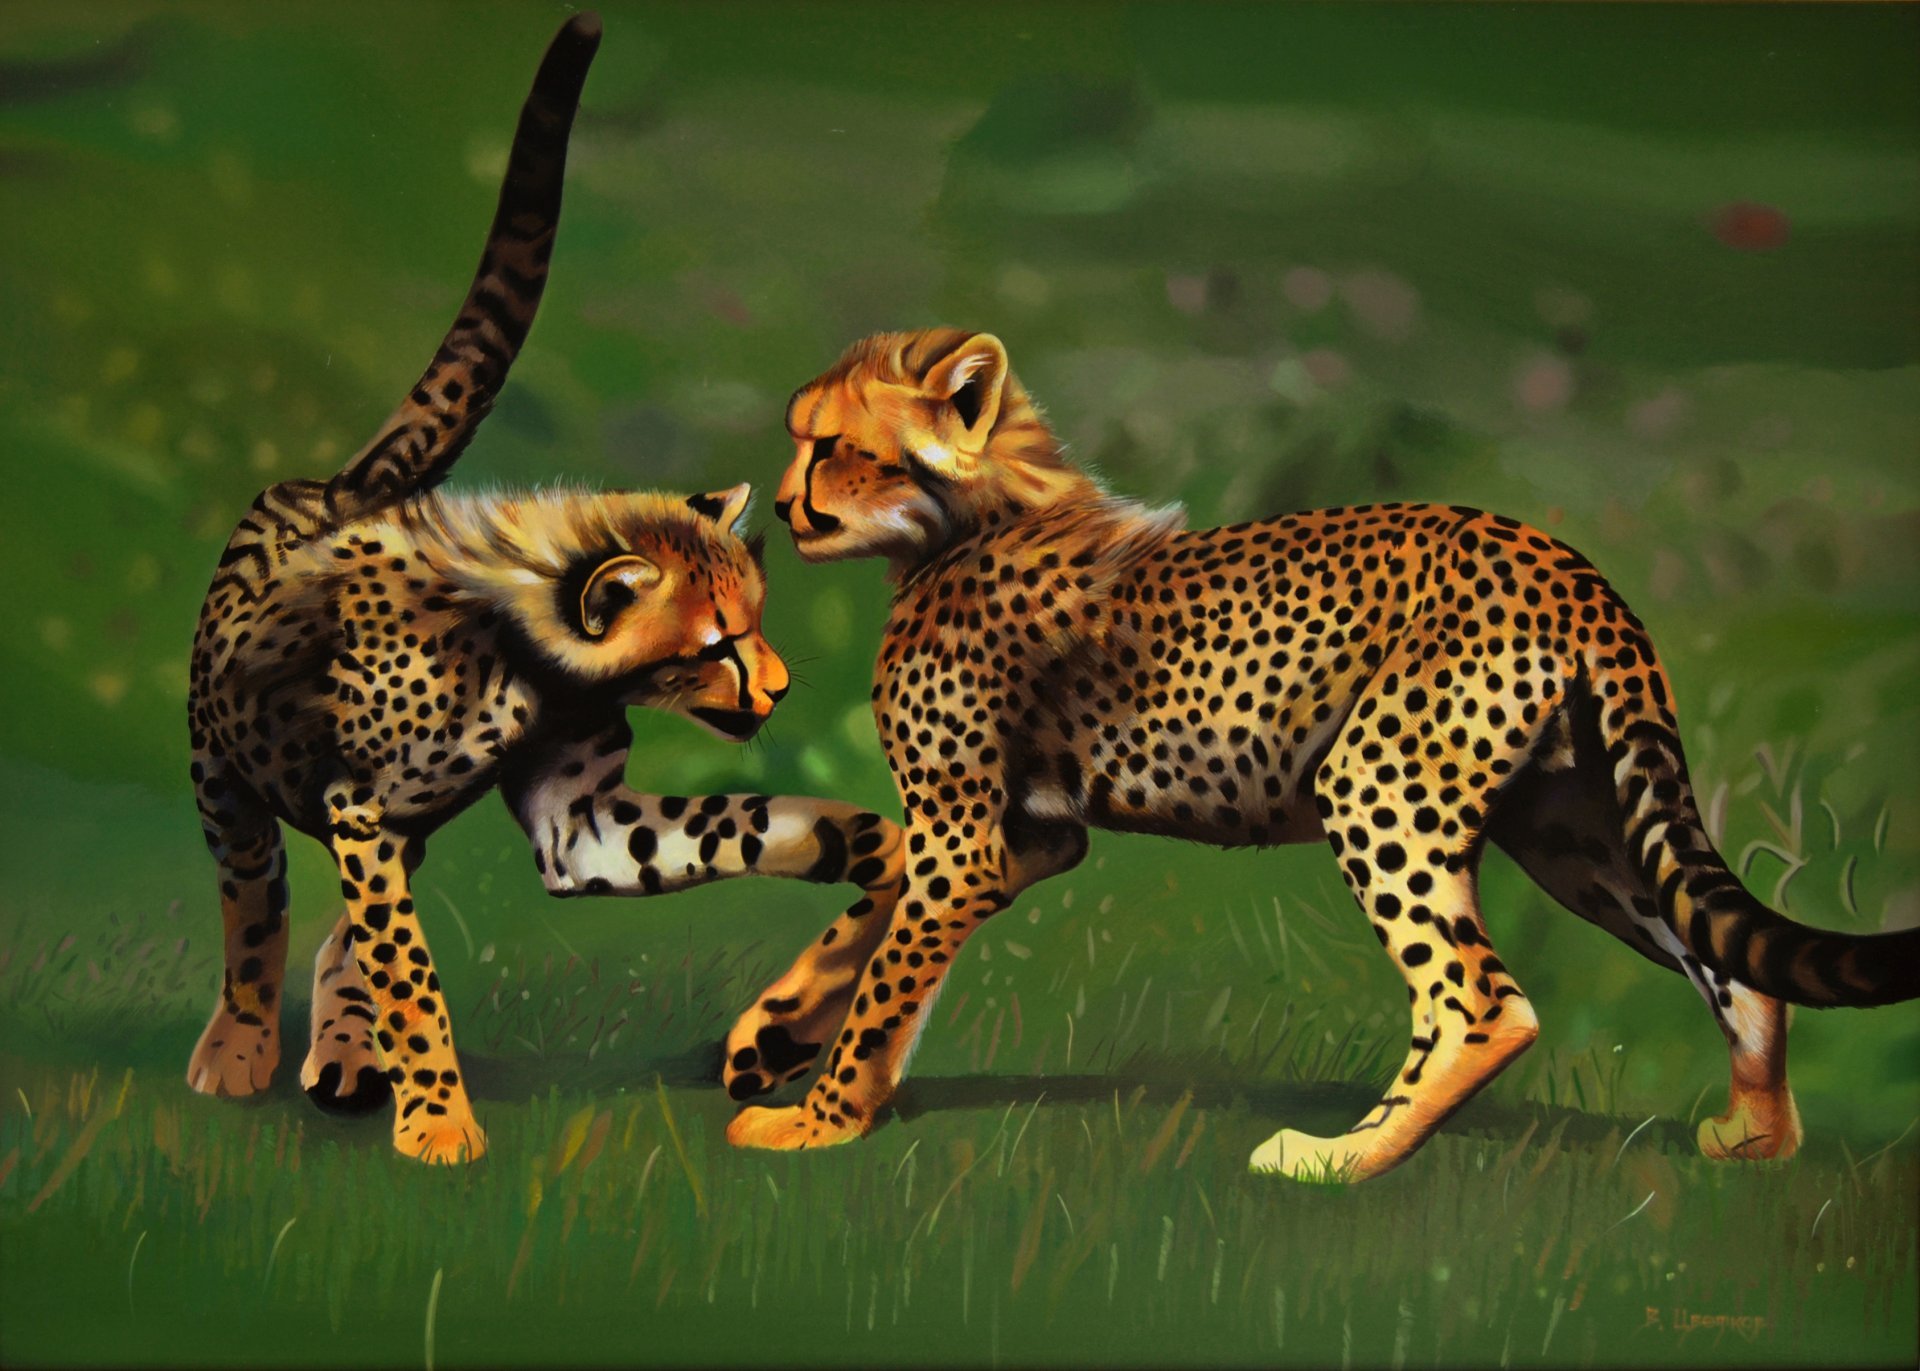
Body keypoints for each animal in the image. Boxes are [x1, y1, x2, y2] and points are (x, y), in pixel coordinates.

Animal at [184, 14, 901, 1165]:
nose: (782, 688)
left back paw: (342, 1053)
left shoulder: (578, 824)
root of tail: (335, 484)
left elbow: (761, 824)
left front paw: (859, 884)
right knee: (256, 906)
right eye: (714, 645)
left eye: (754, 626)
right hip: (227, 779)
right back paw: (242, 1050)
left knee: (340, 929)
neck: (529, 659)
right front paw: (440, 1123)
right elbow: (404, 969)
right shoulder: (358, 803)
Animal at [717, 326, 1920, 1181]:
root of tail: (1565, 562)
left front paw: (818, 1121)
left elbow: (889, 974)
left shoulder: (969, 834)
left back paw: (1339, 1157)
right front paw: (771, 1036)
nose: (780, 504)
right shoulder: (1025, 832)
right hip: (1574, 829)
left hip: (1380, 784)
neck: (971, 518)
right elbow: (871, 919)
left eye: (835, 448)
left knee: (1481, 1001)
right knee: (1734, 966)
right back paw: (1754, 1140)